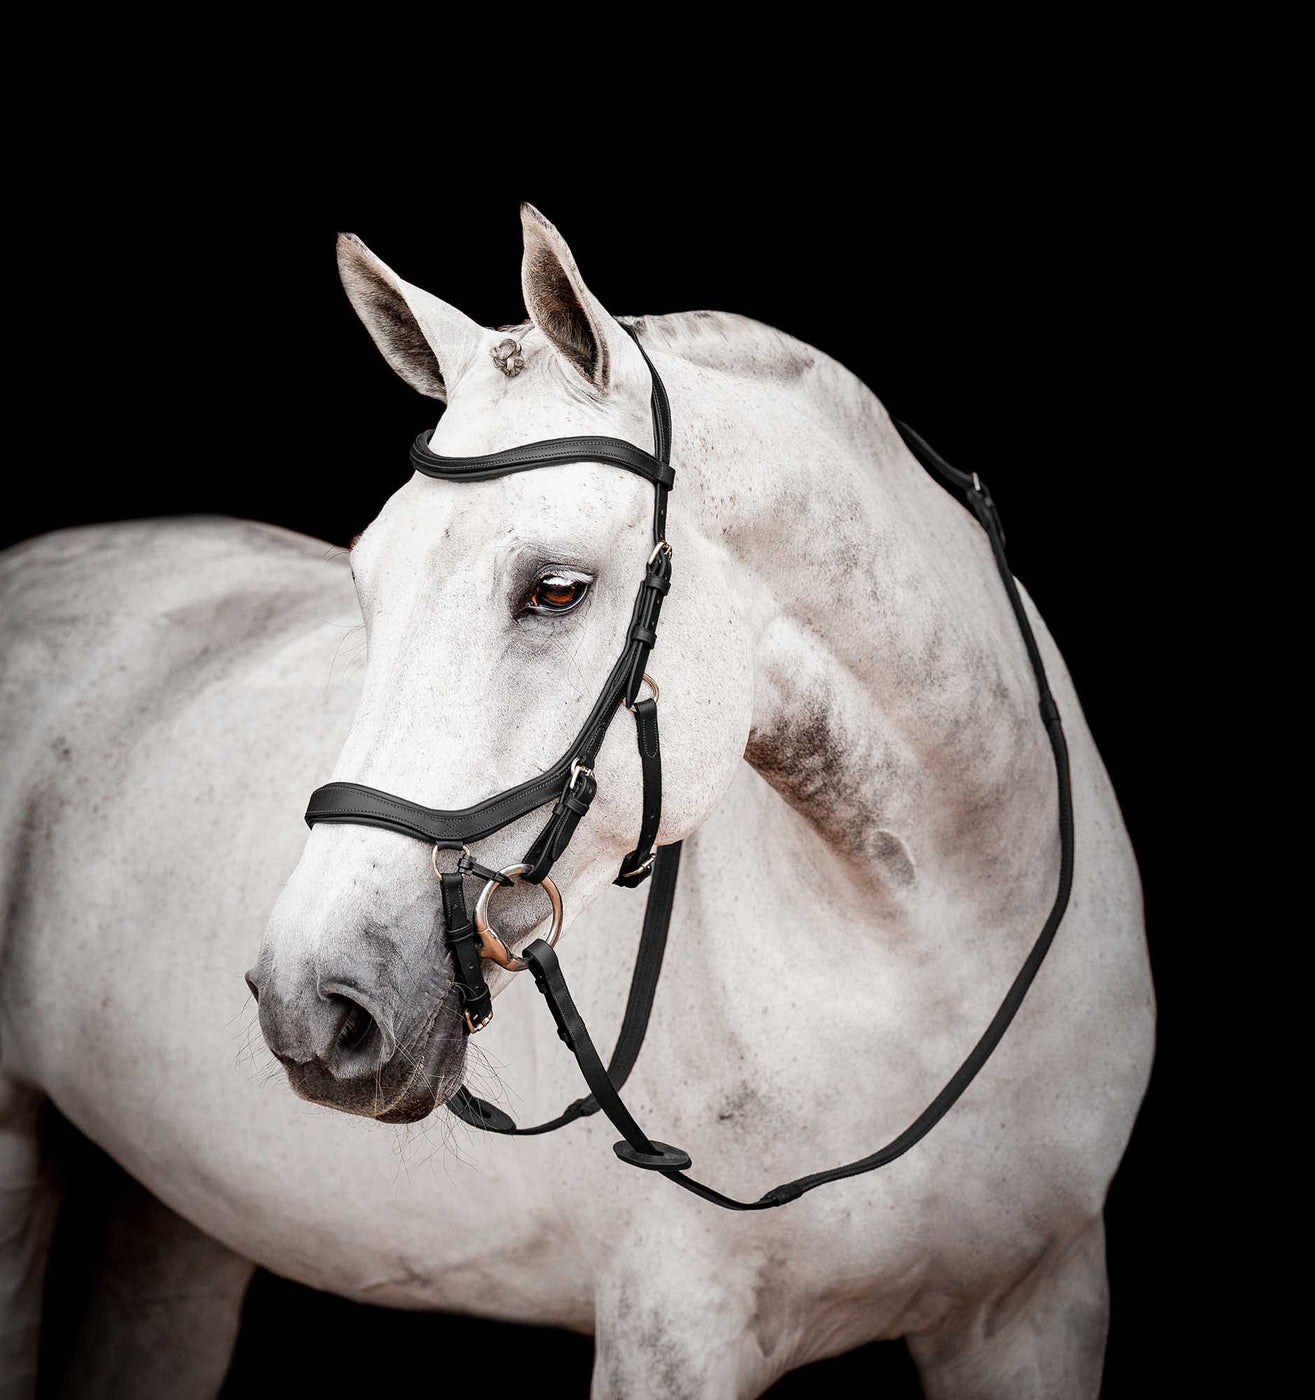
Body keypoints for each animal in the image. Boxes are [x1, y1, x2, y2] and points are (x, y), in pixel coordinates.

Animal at [0, 205, 1154, 1398]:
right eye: (366, 578)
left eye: (555, 589)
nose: (312, 1002)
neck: (926, 957)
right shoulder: (674, 1330)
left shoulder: (1037, 1305)